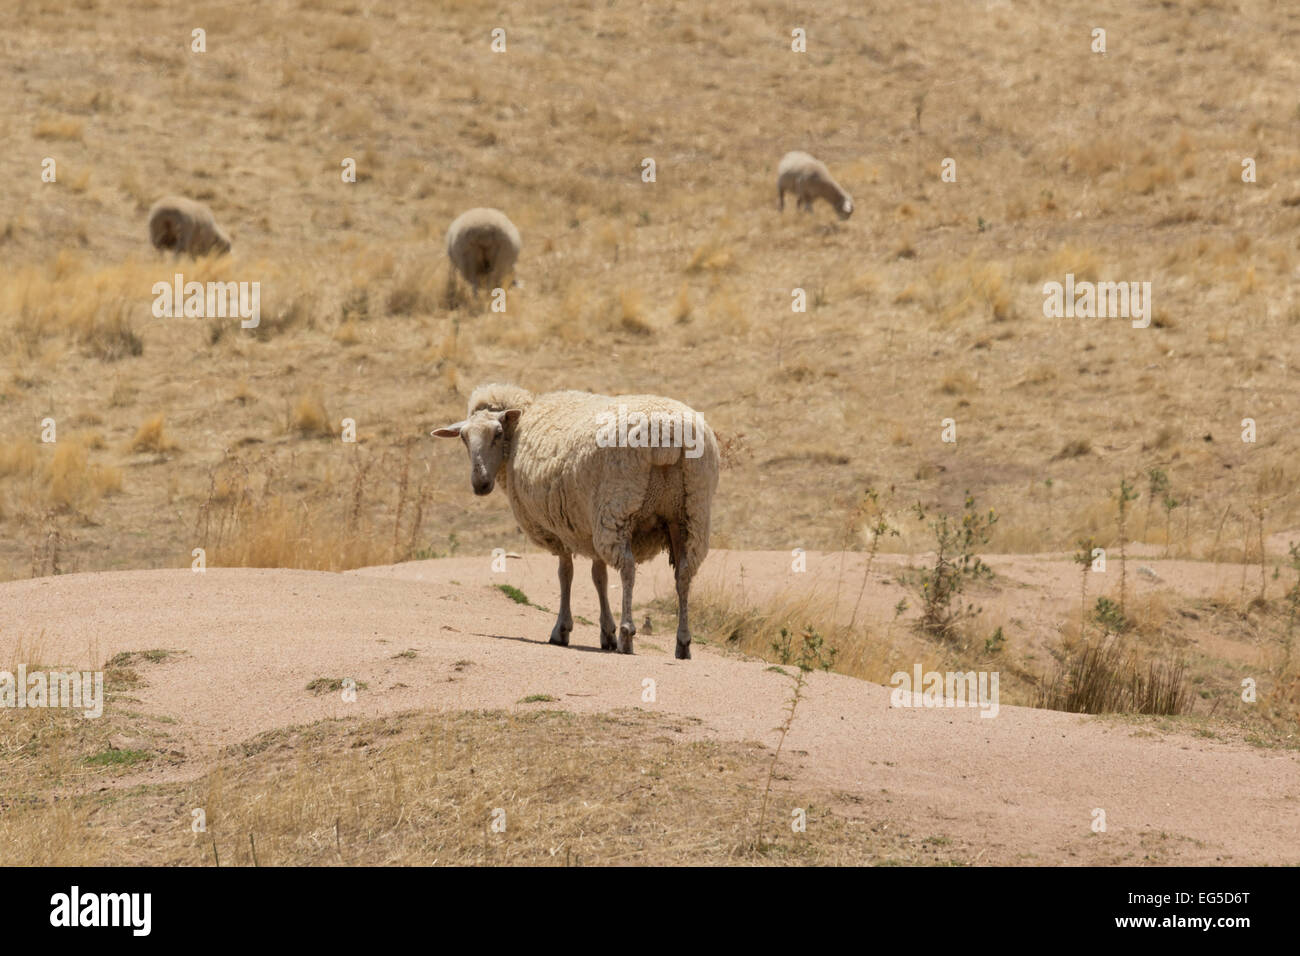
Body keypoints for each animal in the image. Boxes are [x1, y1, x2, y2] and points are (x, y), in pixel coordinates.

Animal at [433, 383, 720, 660]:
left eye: (497, 433)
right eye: (463, 437)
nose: (480, 484)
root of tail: (668, 432)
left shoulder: (561, 530)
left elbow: (566, 574)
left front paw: (564, 630)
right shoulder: (586, 523)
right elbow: (599, 576)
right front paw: (606, 632)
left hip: (617, 506)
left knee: (628, 568)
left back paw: (627, 634)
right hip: (691, 512)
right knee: (684, 572)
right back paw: (683, 642)